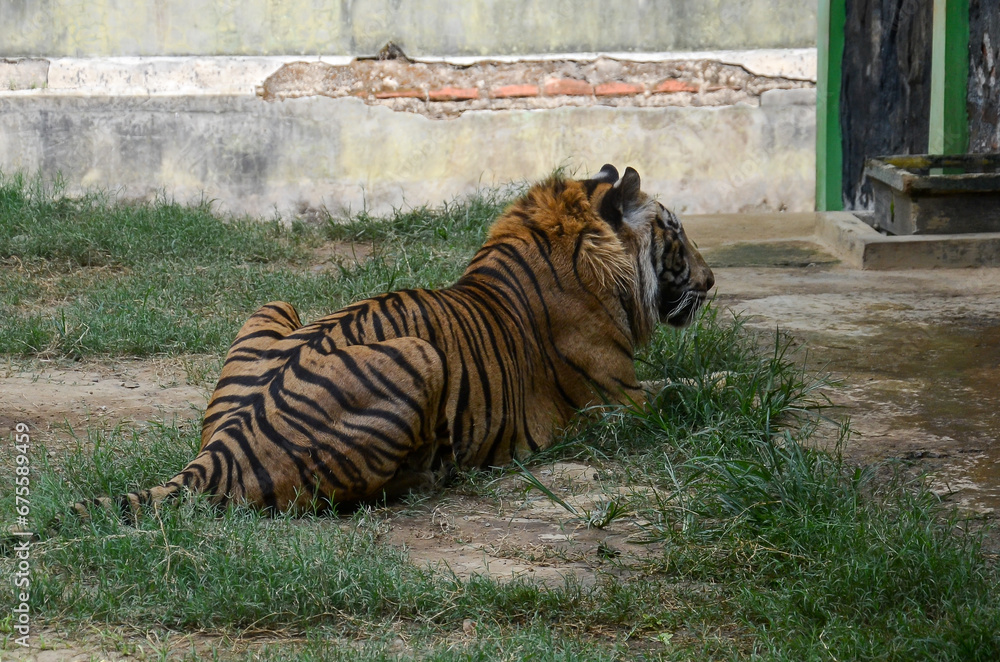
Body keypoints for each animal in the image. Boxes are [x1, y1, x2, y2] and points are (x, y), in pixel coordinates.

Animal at [76, 164, 714, 519]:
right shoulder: (622, 400)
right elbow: (694, 387)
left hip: (273, 304)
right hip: (420, 354)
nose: (711, 282)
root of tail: (219, 452)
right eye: (676, 232)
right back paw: (433, 475)